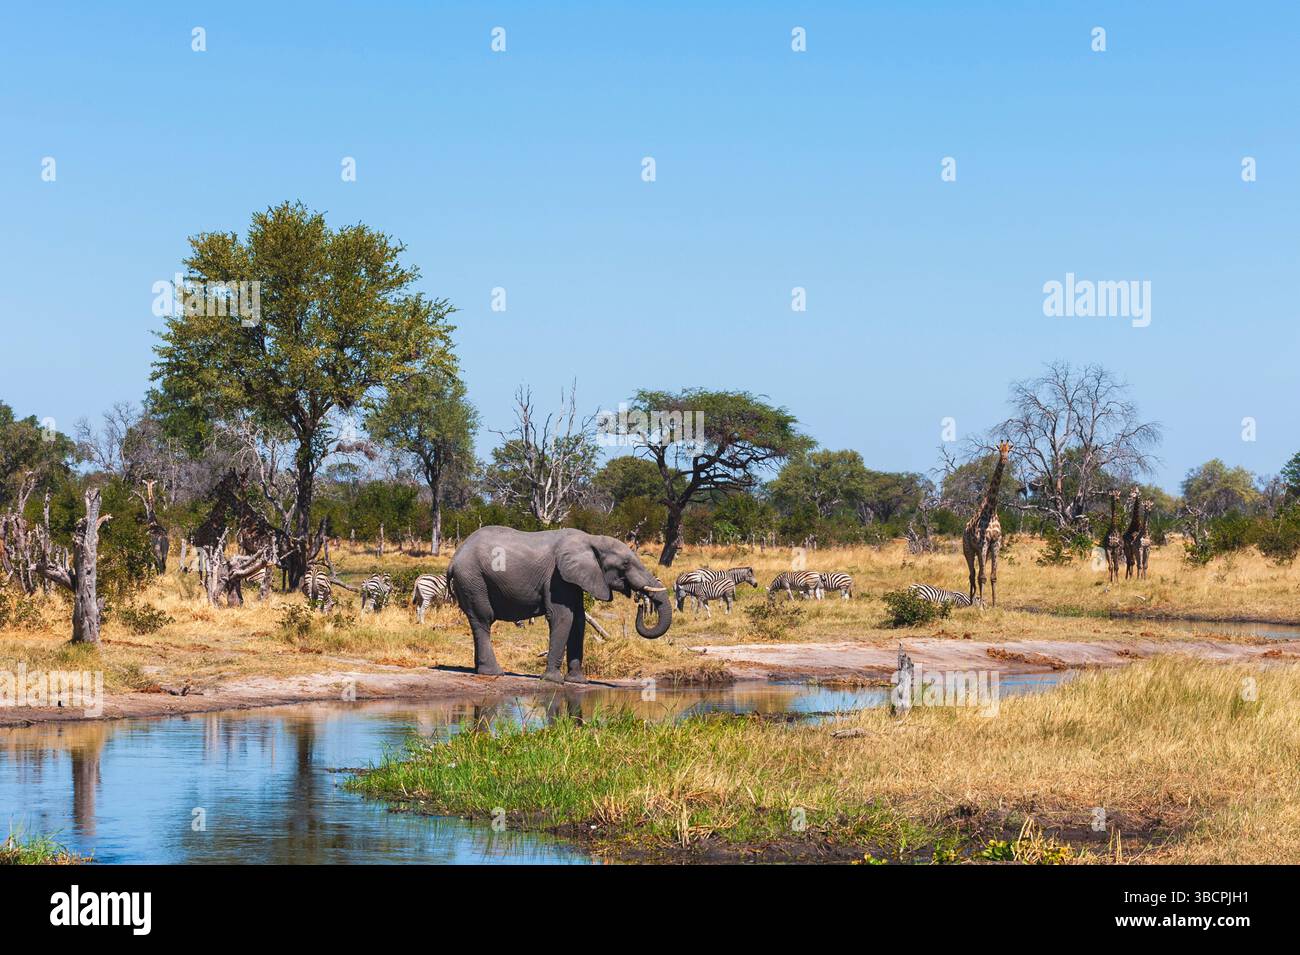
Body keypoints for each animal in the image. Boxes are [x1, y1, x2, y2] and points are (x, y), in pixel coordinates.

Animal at [447, 526, 673, 684]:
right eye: (625, 564)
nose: (640, 604)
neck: (591, 539)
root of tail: (454, 559)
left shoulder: (574, 578)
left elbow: (579, 620)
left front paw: (578, 682)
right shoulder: (556, 577)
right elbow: (563, 617)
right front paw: (553, 681)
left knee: (477, 622)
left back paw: (479, 670)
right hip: (473, 579)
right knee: (484, 619)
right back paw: (494, 673)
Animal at [962, 440, 1011, 607]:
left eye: (1009, 450)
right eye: (999, 449)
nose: (1004, 459)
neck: (991, 511)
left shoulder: (995, 544)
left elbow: (992, 576)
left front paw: (995, 605)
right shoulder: (983, 543)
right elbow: (982, 577)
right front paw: (982, 607)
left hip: (983, 552)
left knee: (976, 574)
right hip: (969, 550)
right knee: (972, 574)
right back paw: (971, 602)